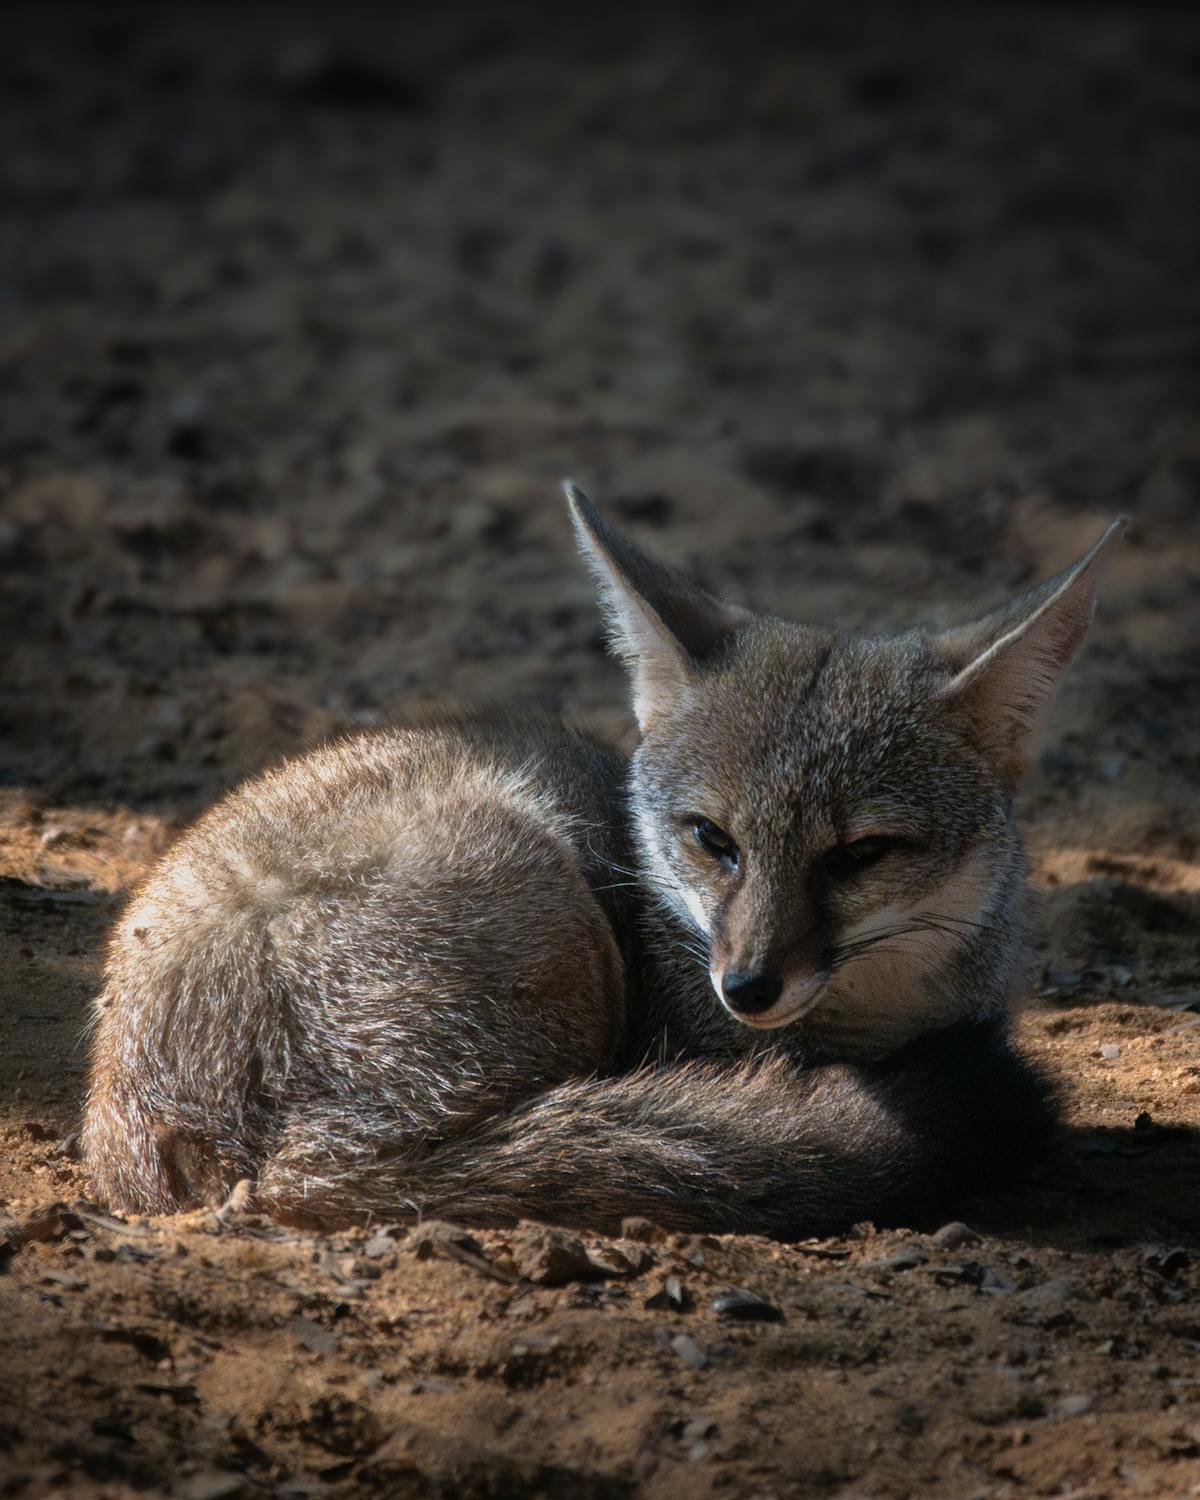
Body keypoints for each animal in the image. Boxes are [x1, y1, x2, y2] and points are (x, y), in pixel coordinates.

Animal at [81, 485, 1123, 1236]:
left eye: (860, 852)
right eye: (713, 840)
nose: (747, 987)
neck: (882, 1028)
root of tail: (280, 1165)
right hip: (550, 898)